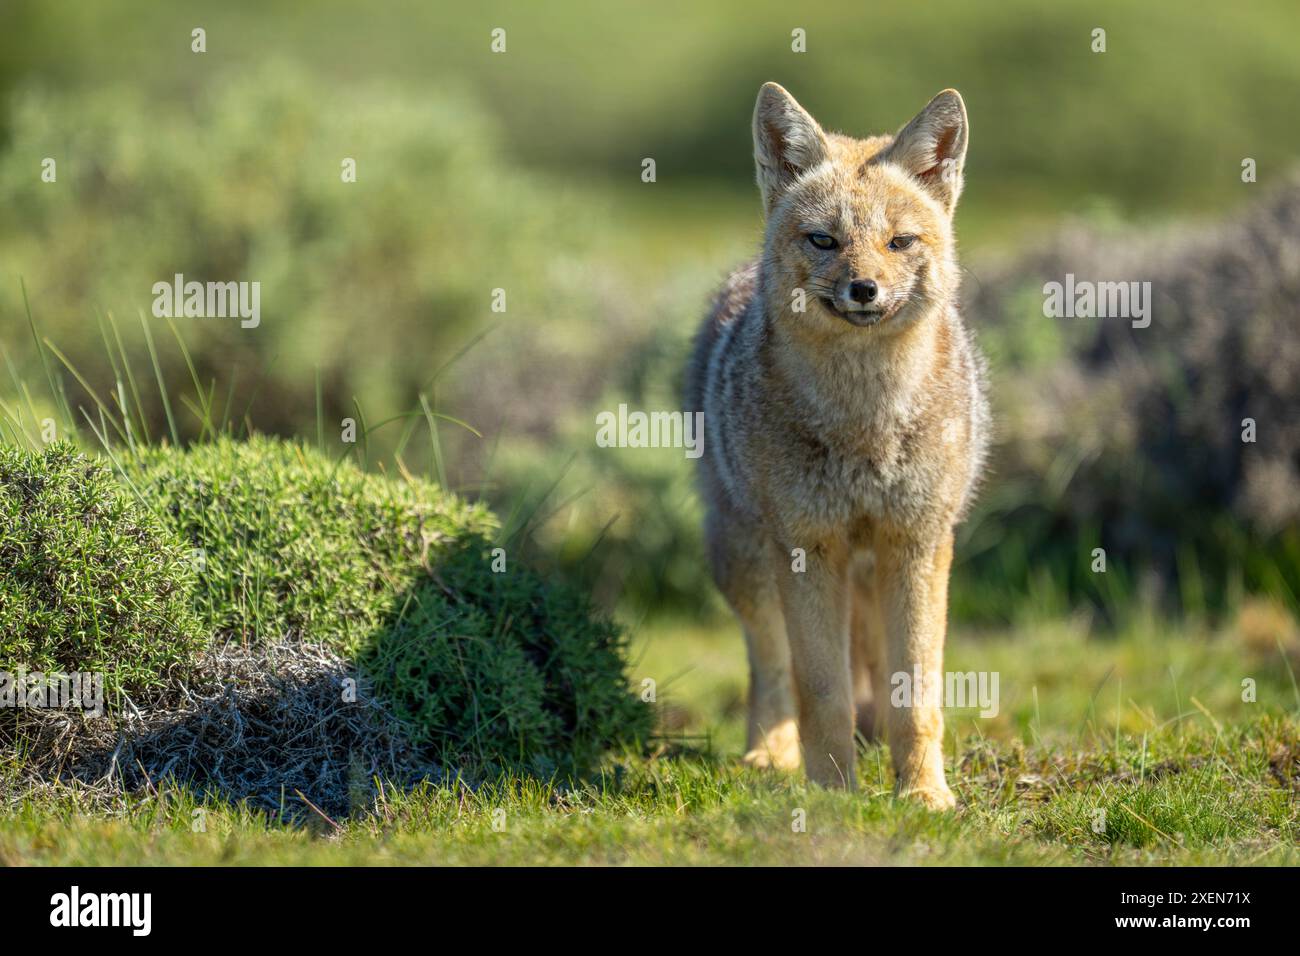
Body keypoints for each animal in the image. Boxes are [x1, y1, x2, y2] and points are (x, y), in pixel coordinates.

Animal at [685, 83, 989, 809]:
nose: (864, 288)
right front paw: (831, 795)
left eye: (899, 242)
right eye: (824, 240)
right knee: (769, 667)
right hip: (748, 562)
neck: (864, 426)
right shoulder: (809, 546)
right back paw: (771, 754)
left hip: (873, 568)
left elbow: (917, 697)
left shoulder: (918, 542)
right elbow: (820, 691)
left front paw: (925, 796)